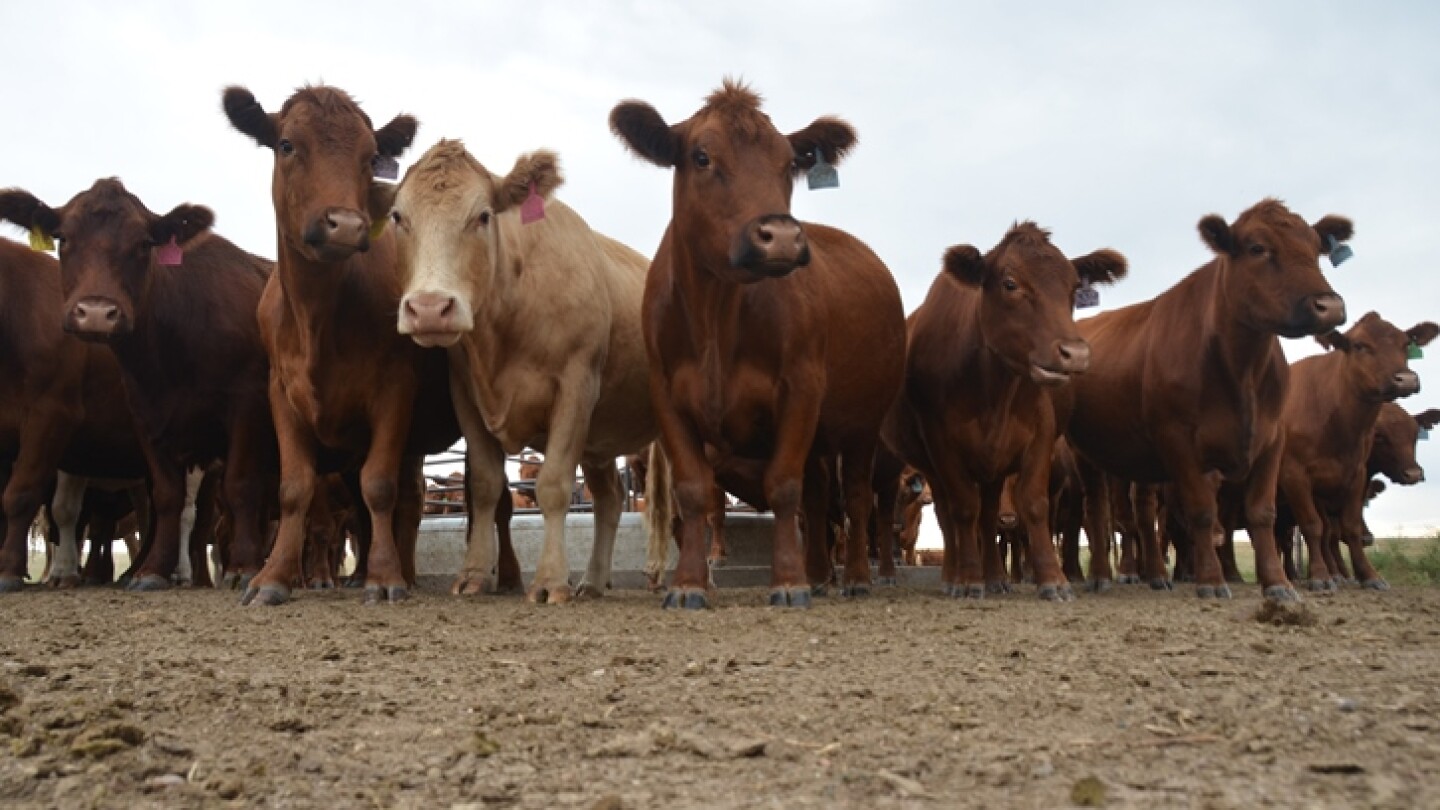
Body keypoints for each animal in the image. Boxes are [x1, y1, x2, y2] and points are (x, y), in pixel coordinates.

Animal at [223, 84, 460, 605]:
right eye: (287, 145)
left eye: (370, 156)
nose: (347, 225)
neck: (317, 317)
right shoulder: (281, 393)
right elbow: (295, 488)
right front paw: (272, 579)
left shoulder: (394, 390)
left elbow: (379, 486)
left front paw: (386, 579)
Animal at [376, 140, 661, 602]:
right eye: (399, 217)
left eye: (483, 216)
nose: (430, 308)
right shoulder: (467, 394)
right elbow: (485, 485)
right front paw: (473, 573)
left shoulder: (576, 386)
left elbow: (553, 485)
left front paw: (549, 581)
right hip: (600, 441)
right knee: (609, 499)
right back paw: (592, 582)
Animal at [610, 79, 907, 608]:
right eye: (702, 156)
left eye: (789, 162)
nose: (783, 237)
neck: (717, 319)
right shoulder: (667, 396)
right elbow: (694, 493)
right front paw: (688, 584)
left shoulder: (801, 387)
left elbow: (783, 487)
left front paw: (787, 582)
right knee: (818, 495)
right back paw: (819, 575)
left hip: (864, 424)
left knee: (855, 497)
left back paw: (854, 577)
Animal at [883, 223, 1127, 600]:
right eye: (1010, 284)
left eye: (1074, 287)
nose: (1074, 353)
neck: (994, 390)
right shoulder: (942, 445)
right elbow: (963, 510)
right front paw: (969, 580)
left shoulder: (1040, 436)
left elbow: (1033, 507)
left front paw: (1053, 580)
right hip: (933, 468)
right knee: (950, 516)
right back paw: (953, 576)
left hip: (994, 468)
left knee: (988, 516)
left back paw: (996, 578)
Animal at [1278, 317, 1435, 590]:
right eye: (1360, 345)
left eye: (1406, 344)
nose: (1406, 379)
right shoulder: (1297, 477)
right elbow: (1315, 527)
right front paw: (1322, 575)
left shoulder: (1355, 477)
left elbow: (1348, 528)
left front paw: (1366, 575)